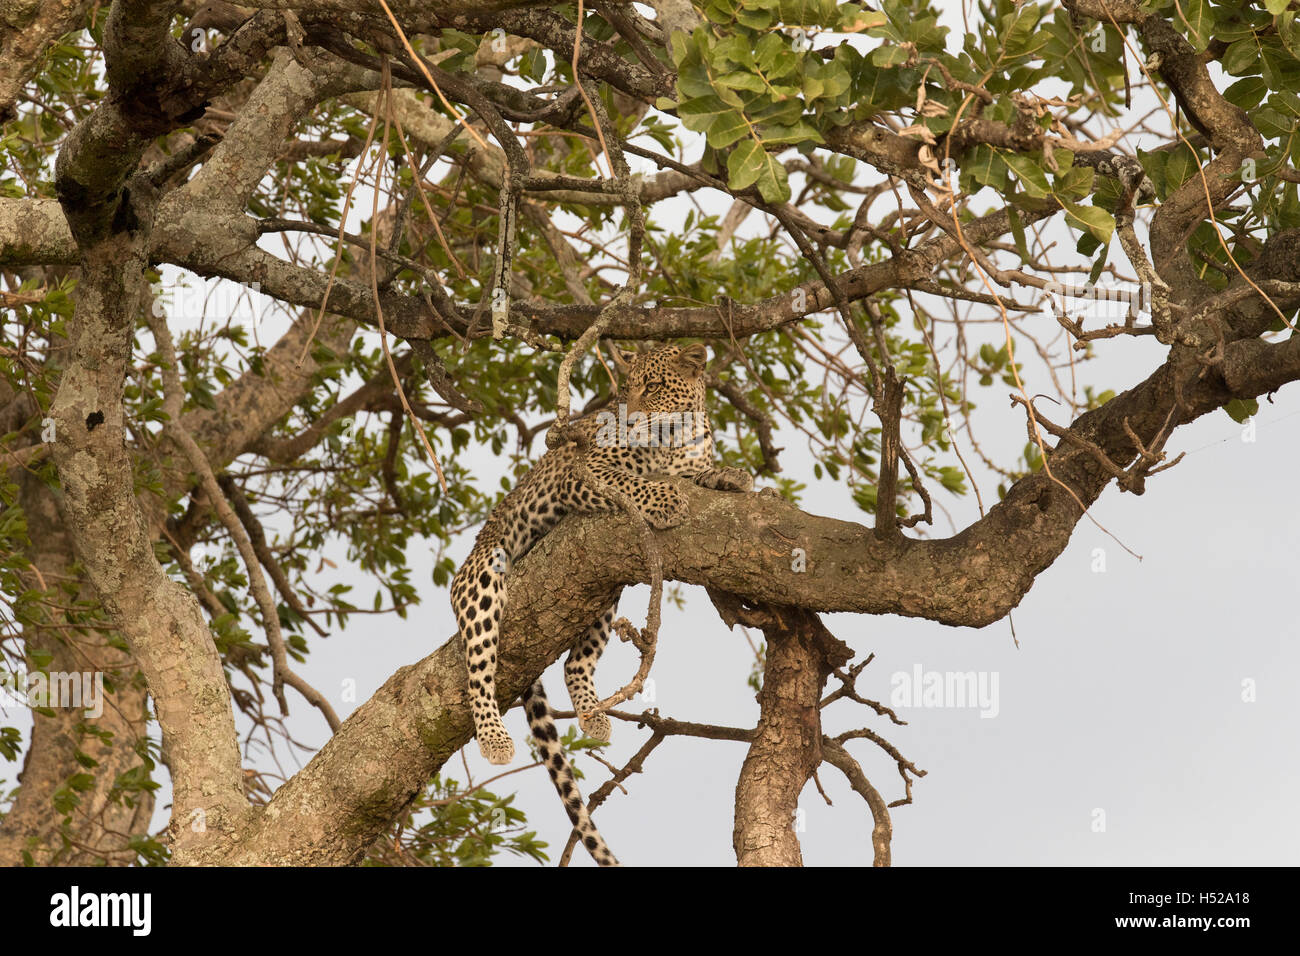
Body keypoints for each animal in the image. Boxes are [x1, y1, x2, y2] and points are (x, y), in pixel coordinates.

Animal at [449, 341, 753, 866]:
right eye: (625, 388)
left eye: (653, 386)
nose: (628, 417)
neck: (676, 436)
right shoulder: (584, 472)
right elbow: (632, 483)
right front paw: (667, 501)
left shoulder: (688, 464)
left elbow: (705, 472)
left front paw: (734, 476)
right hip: (483, 575)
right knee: (478, 666)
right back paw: (494, 737)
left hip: (601, 590)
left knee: (576, 662)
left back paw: (593, 715)